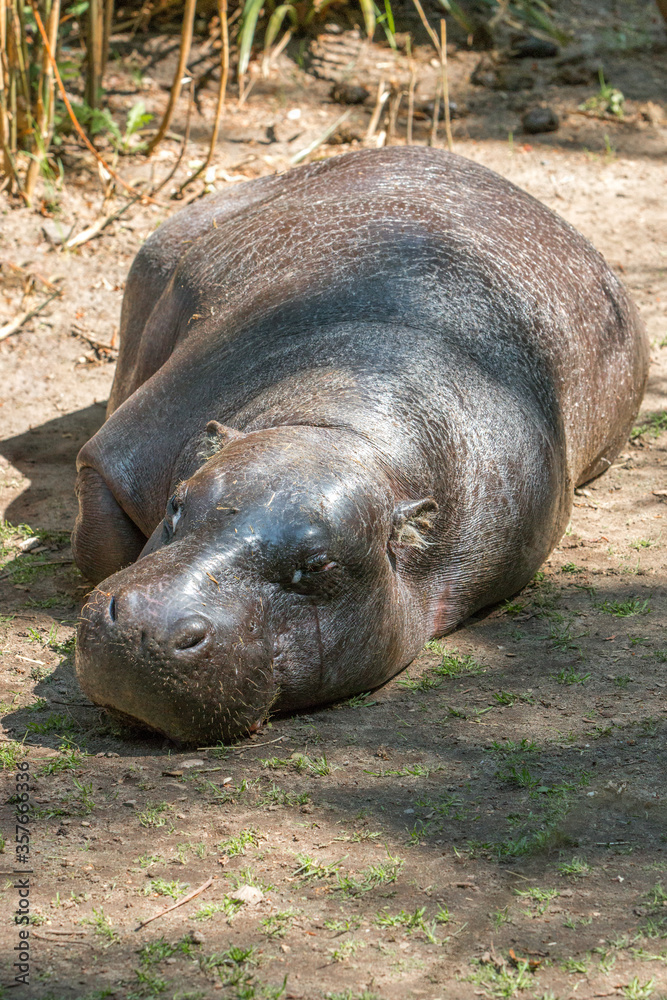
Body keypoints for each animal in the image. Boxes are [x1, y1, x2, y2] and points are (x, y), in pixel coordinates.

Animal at [73, 147, 648, 743]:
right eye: (176, 503)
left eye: (320, 565)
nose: (145, 628)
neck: (339, 428)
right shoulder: (121, 451)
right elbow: (99, 547)